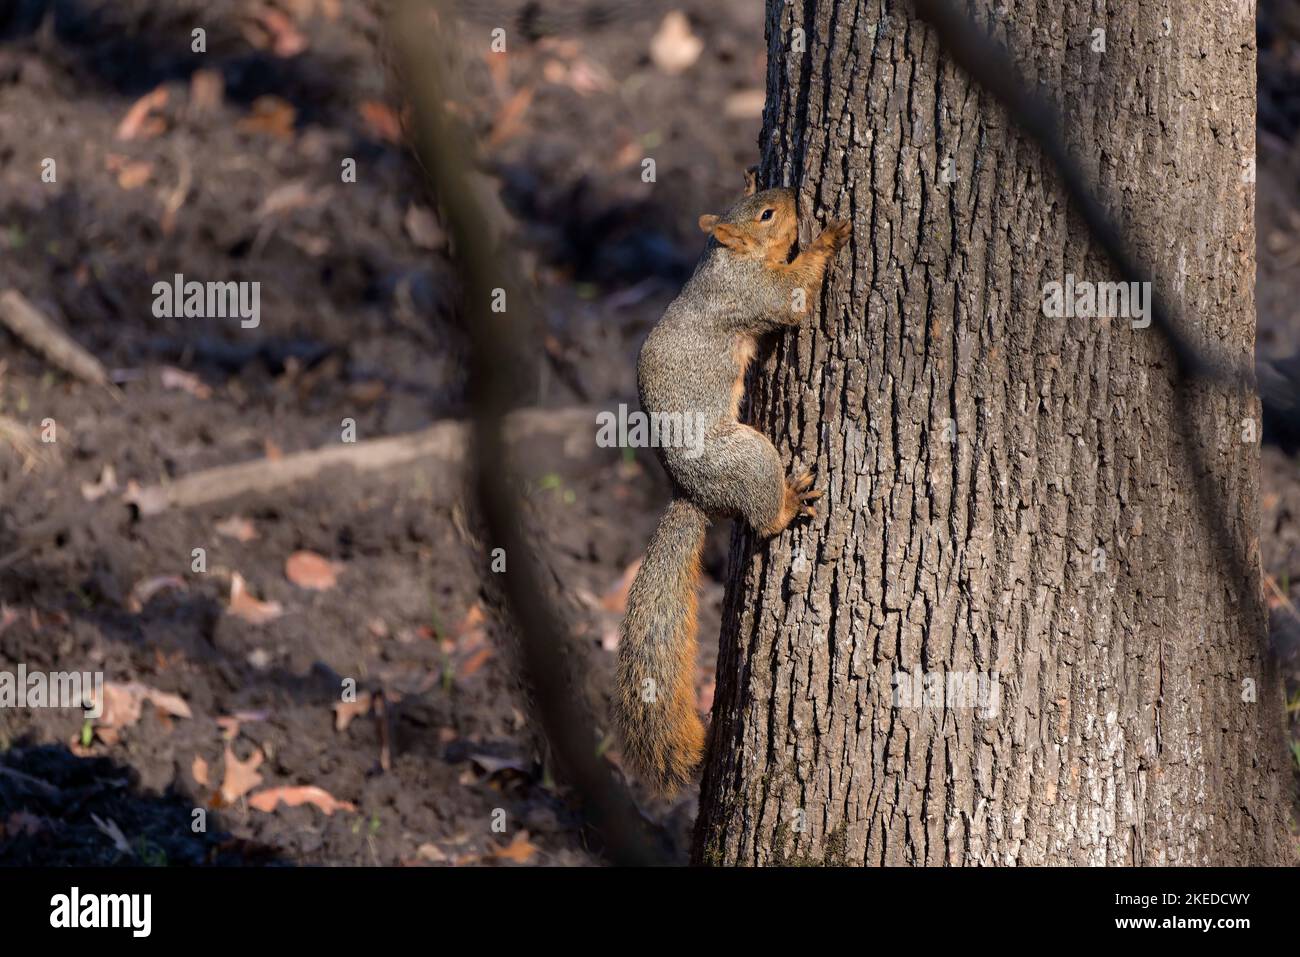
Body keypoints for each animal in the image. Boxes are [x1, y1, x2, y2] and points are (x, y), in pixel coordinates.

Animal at [614, 170, 851, 795]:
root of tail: (693, 493)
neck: (722, 259)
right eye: (767, 214)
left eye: (765, 195)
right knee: (764, 518)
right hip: (749, 456)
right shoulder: (754, 295)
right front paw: (828, 238)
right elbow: (793, 295)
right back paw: (789, 501)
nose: (792, 193)